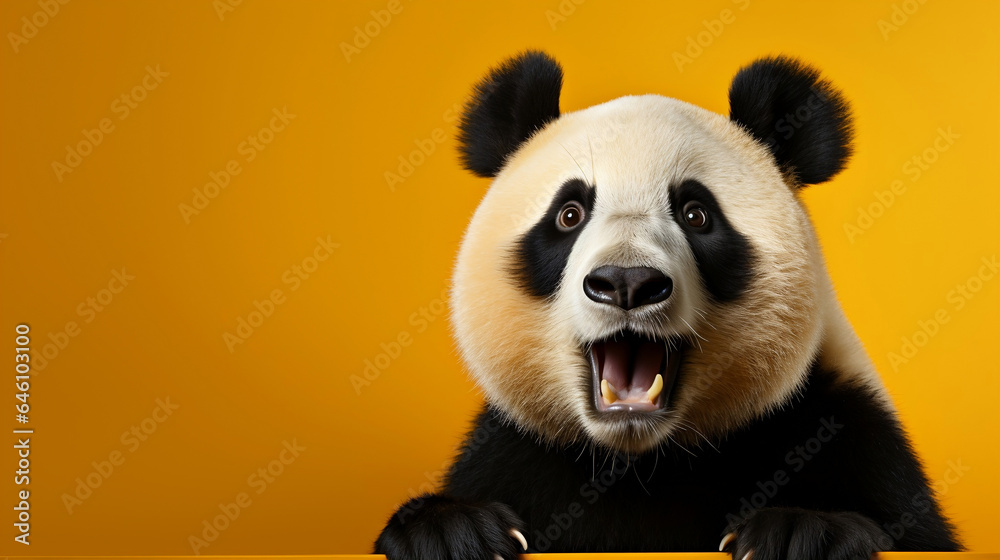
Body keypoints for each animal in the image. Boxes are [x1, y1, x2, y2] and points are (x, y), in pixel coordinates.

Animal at [375, 51, 960, 560]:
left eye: (697, 213)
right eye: (569, 213)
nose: (626, 282)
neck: (641, 462)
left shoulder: (843, 426)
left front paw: (804, 531)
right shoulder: (516, 453)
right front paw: (448, 530)